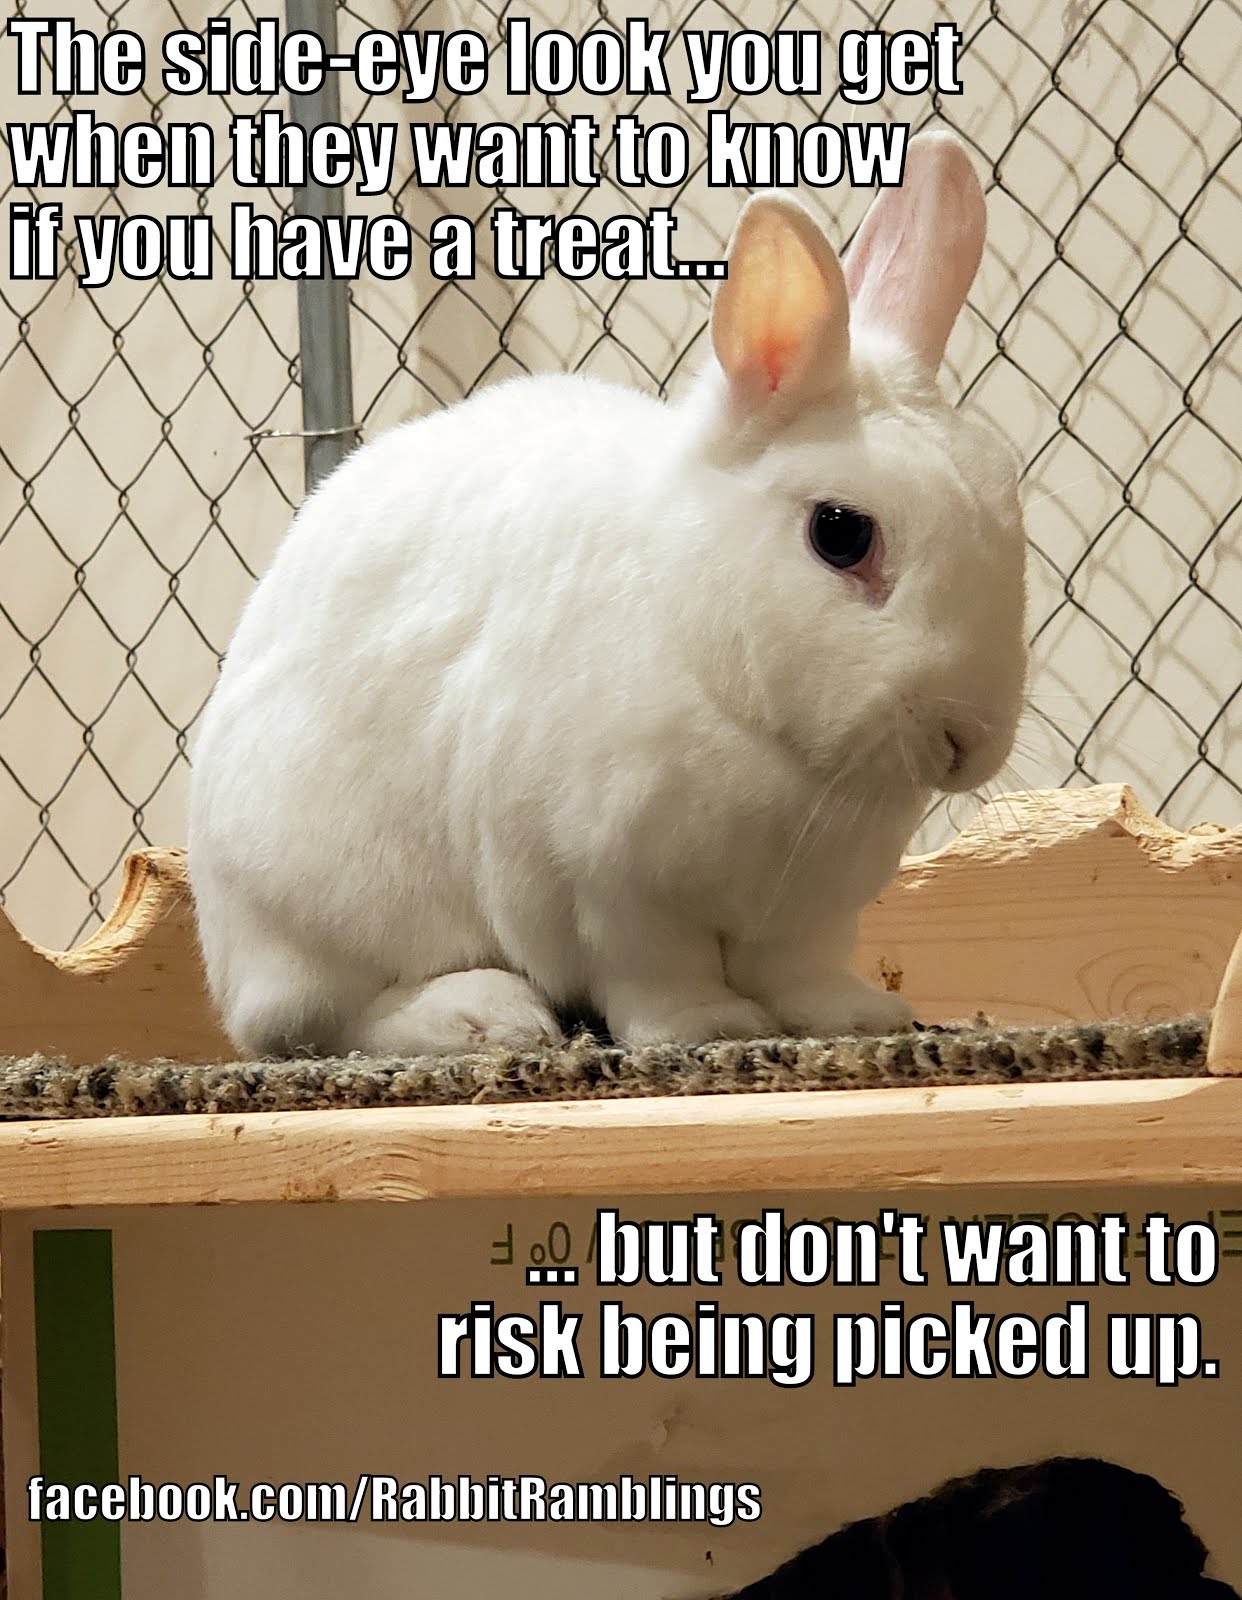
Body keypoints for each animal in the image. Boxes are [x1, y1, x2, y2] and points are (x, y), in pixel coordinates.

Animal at [187, 129, 1027, 1058]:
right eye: (841, 533)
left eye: (1009, 492)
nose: (966, 740)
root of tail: (226, 950)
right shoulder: (607, 890)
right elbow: (657, 974)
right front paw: (708, 1027)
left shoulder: (804, 917)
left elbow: (799, 972)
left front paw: (855, 1016)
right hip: (325, 900)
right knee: (318, 1019)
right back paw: (487, 1016)